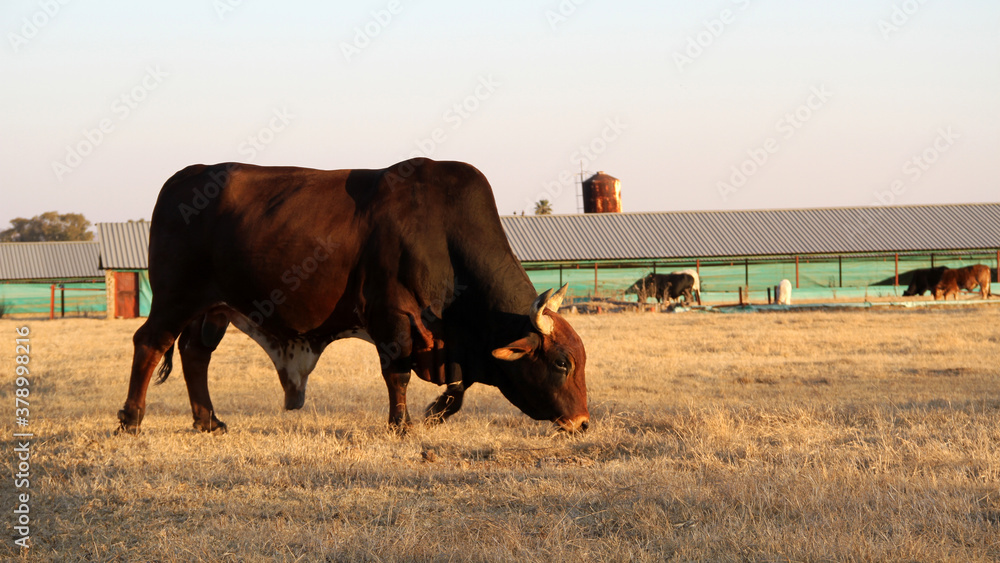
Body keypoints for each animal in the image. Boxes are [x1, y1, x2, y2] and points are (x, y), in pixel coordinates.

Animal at [117, 159, 589, 435]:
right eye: (561, 363)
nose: (583, 422)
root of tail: (182, 177)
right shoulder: (393, 319)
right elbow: (397, 376)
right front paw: (402, 425)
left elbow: (458, 388)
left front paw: (435, 410)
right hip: (175, 297)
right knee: (150, 344)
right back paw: (131, 420)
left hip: (213, 309)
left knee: (195, 354)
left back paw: (208, 421)